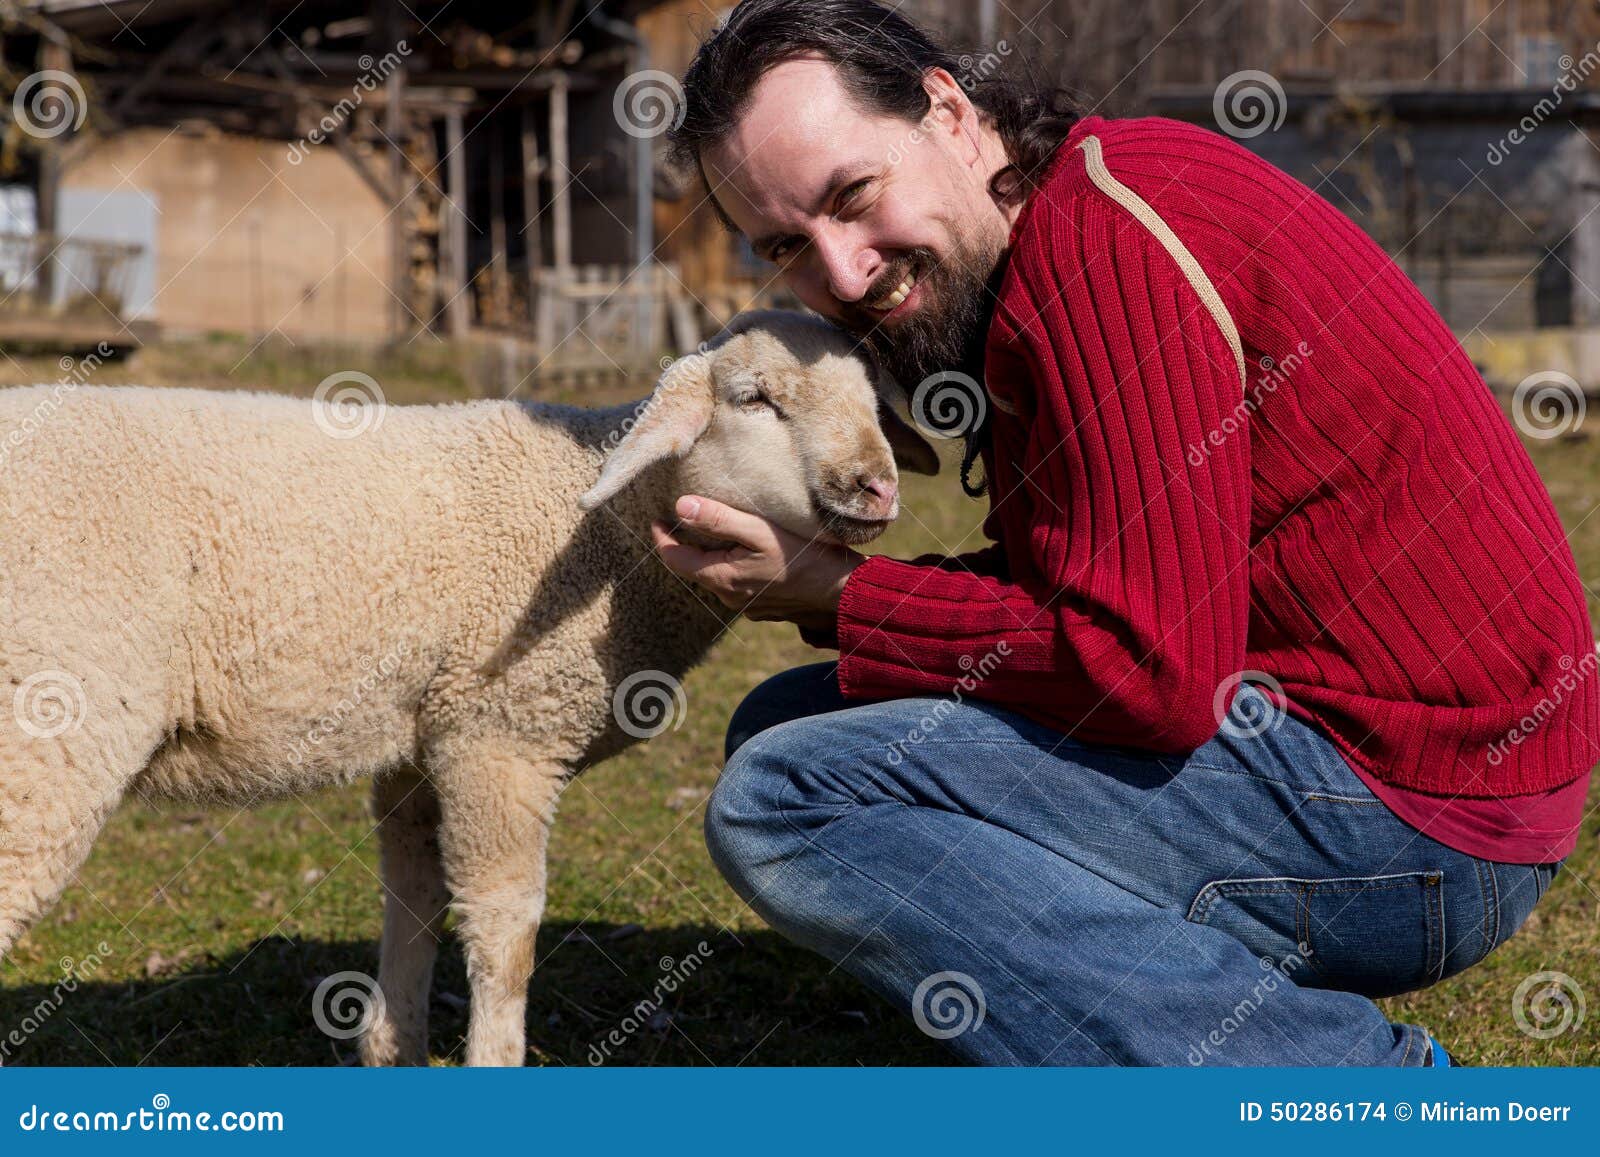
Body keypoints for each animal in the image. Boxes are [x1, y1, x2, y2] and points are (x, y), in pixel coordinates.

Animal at [0, 310, 939, 1066]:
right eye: (753, 398)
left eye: (872, 398)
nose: (874, 483)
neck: (604, 524)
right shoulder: (501, 735)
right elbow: (504, 930)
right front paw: (493, 1057)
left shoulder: (420, 741)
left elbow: (414, 902)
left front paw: (396, 1049)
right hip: (43, 734)